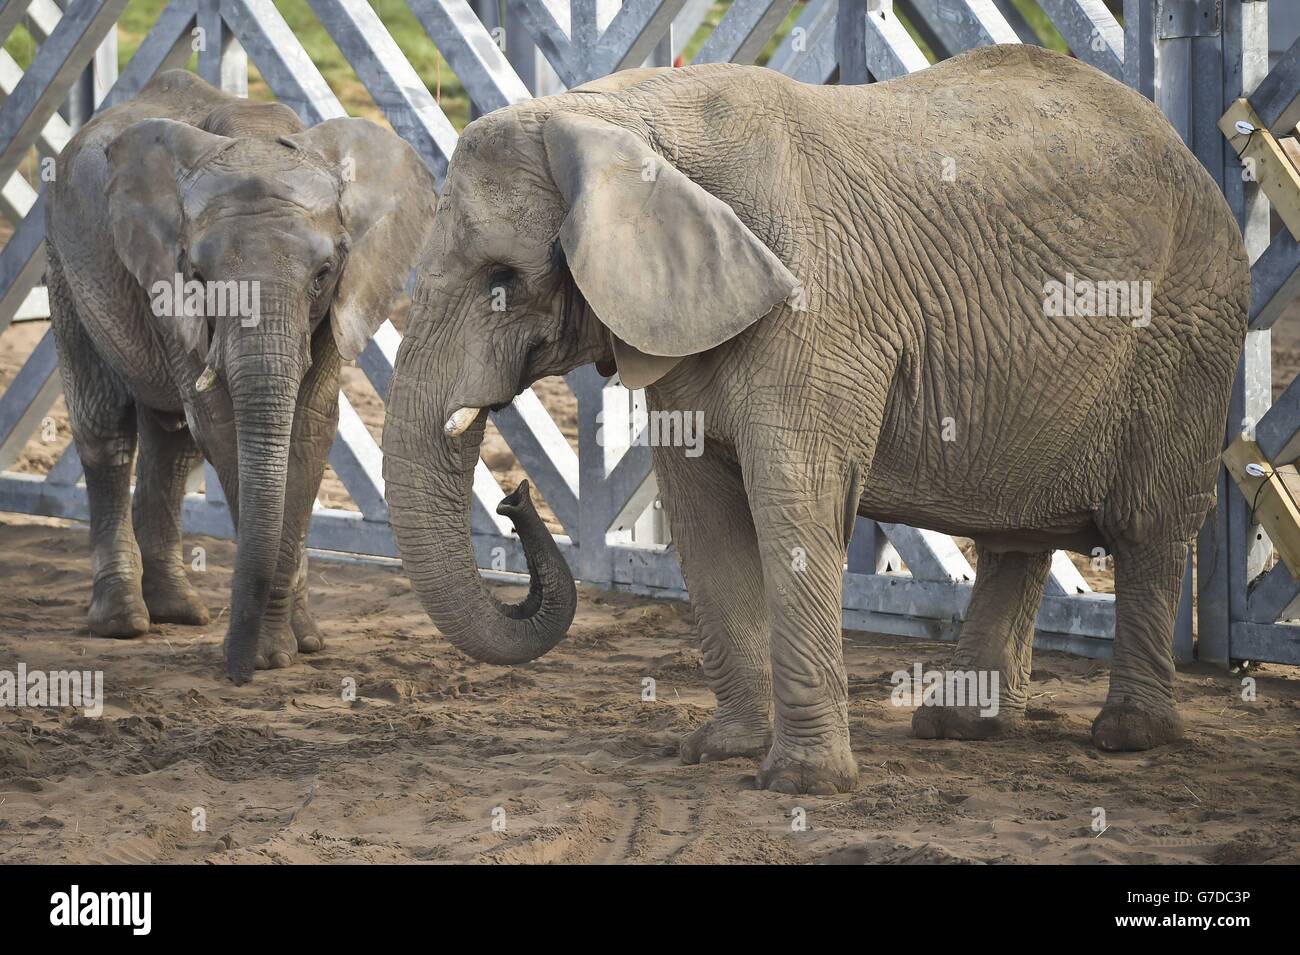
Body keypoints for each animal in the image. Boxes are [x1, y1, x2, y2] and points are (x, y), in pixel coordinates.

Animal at [45, 70, 436, 683]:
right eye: (199, 276)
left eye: (323, 273)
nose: (237, 670)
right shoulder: (166, 281)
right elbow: (222, 424)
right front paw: (271, 653)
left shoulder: (346, 292)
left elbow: (310, 428)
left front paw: (301, 643)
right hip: (65, 259)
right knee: (106, 427)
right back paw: (123, 621)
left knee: (172, 438)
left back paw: (180, 611)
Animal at [381, 46, 1249, 795]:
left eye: (502, 280)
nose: (514, 497)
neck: (623, 116)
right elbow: (702, 515)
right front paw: (717, 750)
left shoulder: (819, 308)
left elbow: (794, 501)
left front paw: (800, 783)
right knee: (1016, 534)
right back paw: (959, 726)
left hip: (1190, 327)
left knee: (1148, 528)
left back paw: (1128, 735)